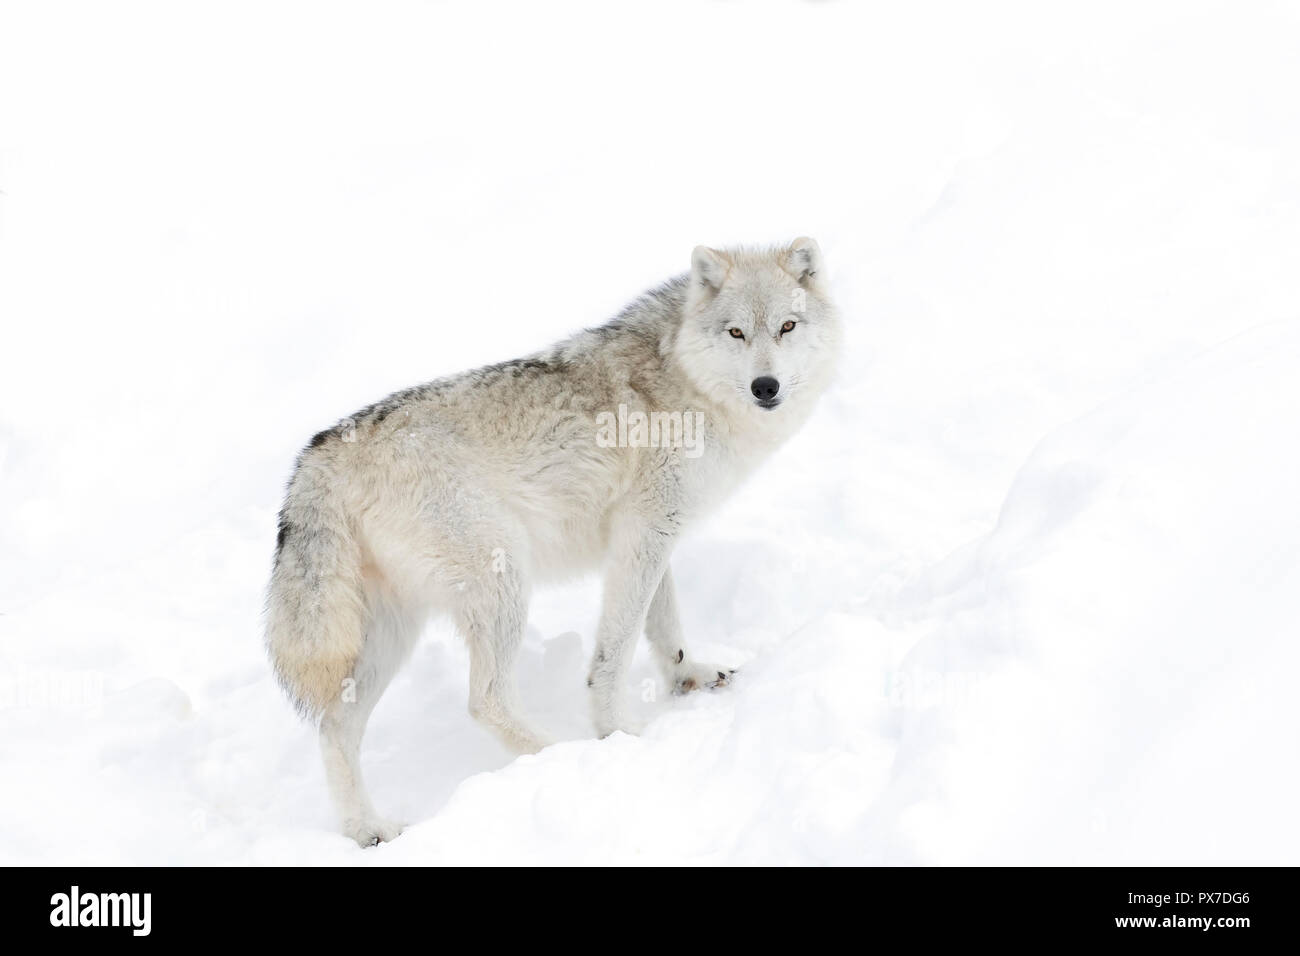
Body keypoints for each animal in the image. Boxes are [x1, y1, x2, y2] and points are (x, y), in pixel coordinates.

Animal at [266, 238, 842, 845]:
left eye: (786, 326)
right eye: (736, 332)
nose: (765, 387)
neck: (682, 378)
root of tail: (321, 453)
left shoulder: (651, 534)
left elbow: (665, 627)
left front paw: (689, 679)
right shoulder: (646, 530)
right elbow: (616, 651)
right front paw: (619, 734)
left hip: (390, 635)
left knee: (335, 727)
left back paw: (368, 831)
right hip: (504, 584)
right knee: (484, 700)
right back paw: (559, 755)